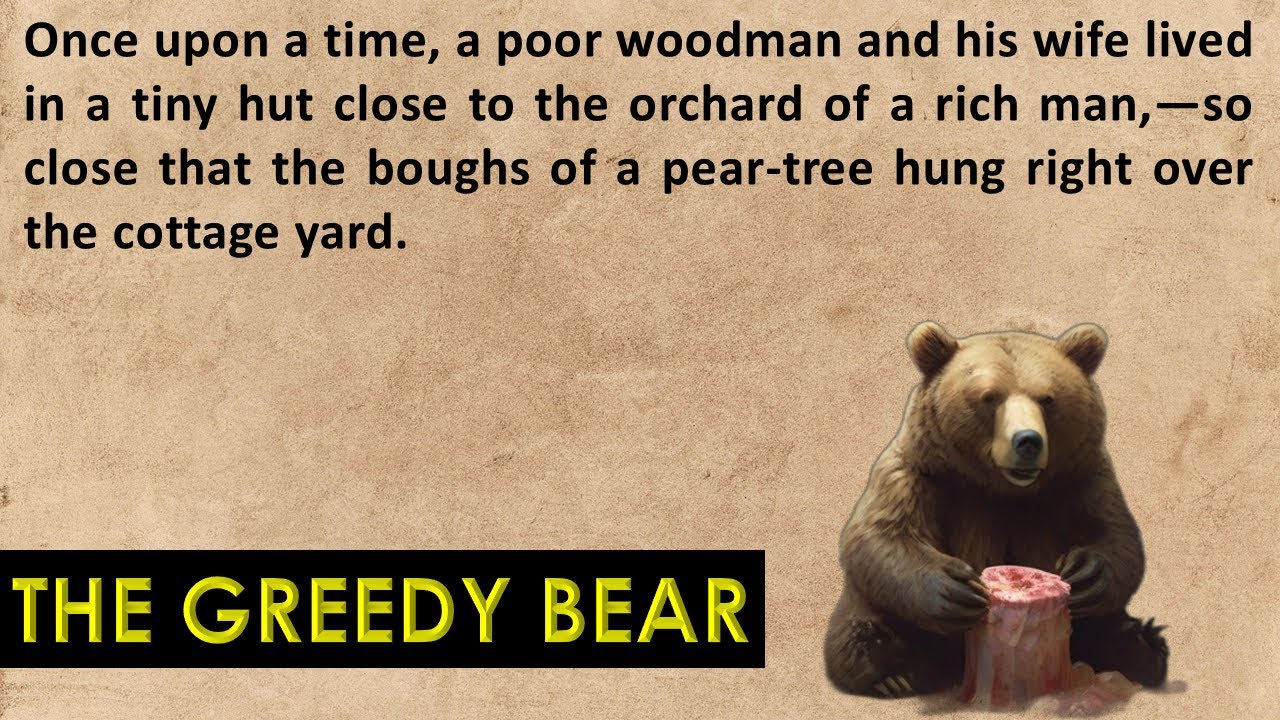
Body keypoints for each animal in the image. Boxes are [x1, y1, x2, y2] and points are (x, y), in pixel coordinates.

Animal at [823, 322, 1168, 698]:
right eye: (989, 397)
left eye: (1047, 399)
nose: (1028, 441)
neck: (1000, 489)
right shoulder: (922, 476)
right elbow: (880, 536)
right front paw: (955, 588)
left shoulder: (1080, 479)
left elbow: (1116, 535)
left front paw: (1084, 571)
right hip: (869, 611)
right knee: (863, 631)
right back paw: (893, 676)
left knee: (1107, 627)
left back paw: (1143, 648)